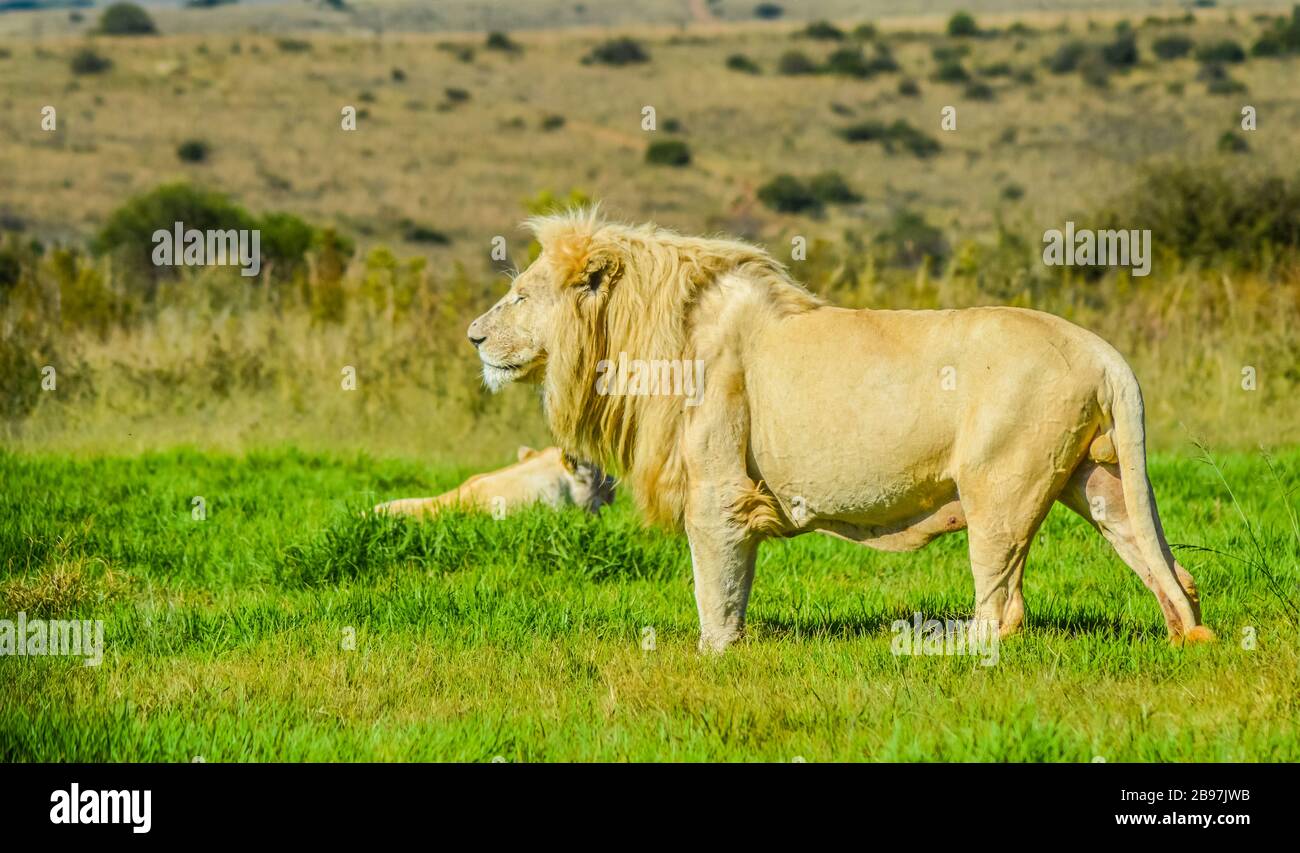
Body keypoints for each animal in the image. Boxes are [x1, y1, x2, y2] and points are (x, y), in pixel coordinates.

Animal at [467, 208, 1212, 652]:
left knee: (1002, 607)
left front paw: (715, 655)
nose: (473, 335)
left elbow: (715, 585)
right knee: (1169, 569)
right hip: (1099, 479)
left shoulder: (717, 491)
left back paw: (945, 649)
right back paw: (1185, 634)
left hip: (999, 488)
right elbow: (735, 582)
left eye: (520, 296)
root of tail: (1102, 350)